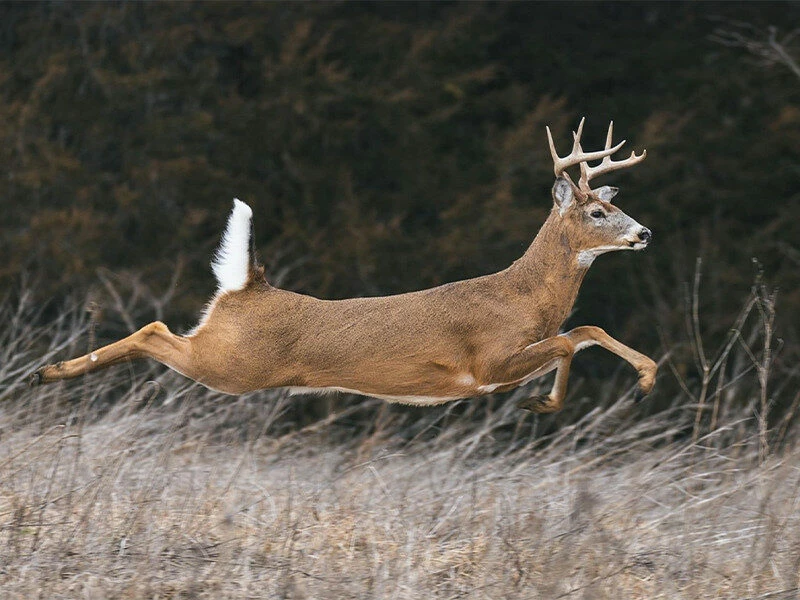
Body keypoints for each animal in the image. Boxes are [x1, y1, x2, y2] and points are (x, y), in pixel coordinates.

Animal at [31, 119, 657, 413]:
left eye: (615, 205)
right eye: (599, 211)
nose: (644, 233)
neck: (523, 298)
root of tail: (249, 286)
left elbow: (584, 329)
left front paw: (647, 379)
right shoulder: (486, 363)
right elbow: (567, 341)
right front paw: (544, 402)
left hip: (225, 354)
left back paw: (50, 372)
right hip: (231, 363)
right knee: (155, 329)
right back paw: (49, 372)